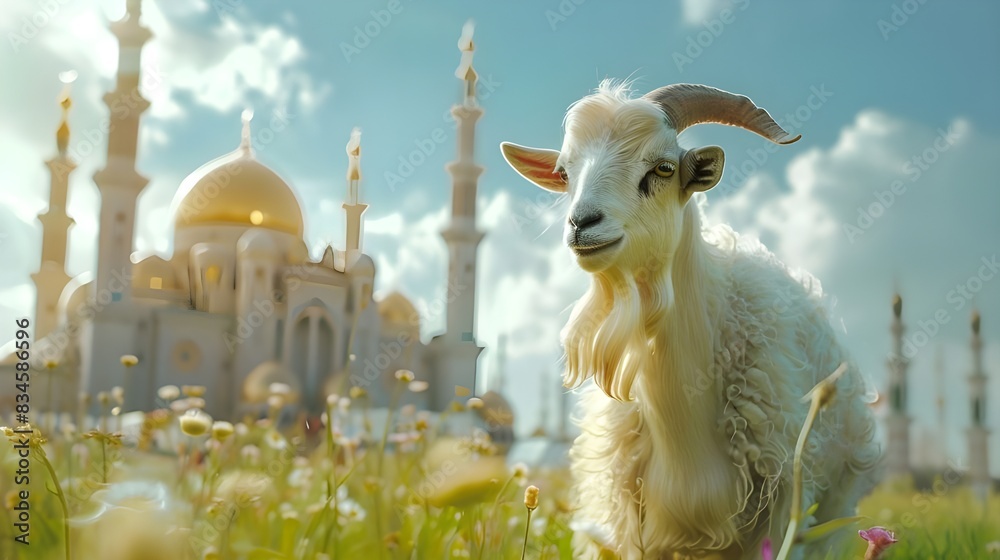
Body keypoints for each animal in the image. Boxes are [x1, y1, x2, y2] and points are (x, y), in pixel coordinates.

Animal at [500, 82, 881, 559]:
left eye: (663, 168)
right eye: (565, 174)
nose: (581, 224)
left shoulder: (782, 510)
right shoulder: (631, 523)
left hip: (829, 519)